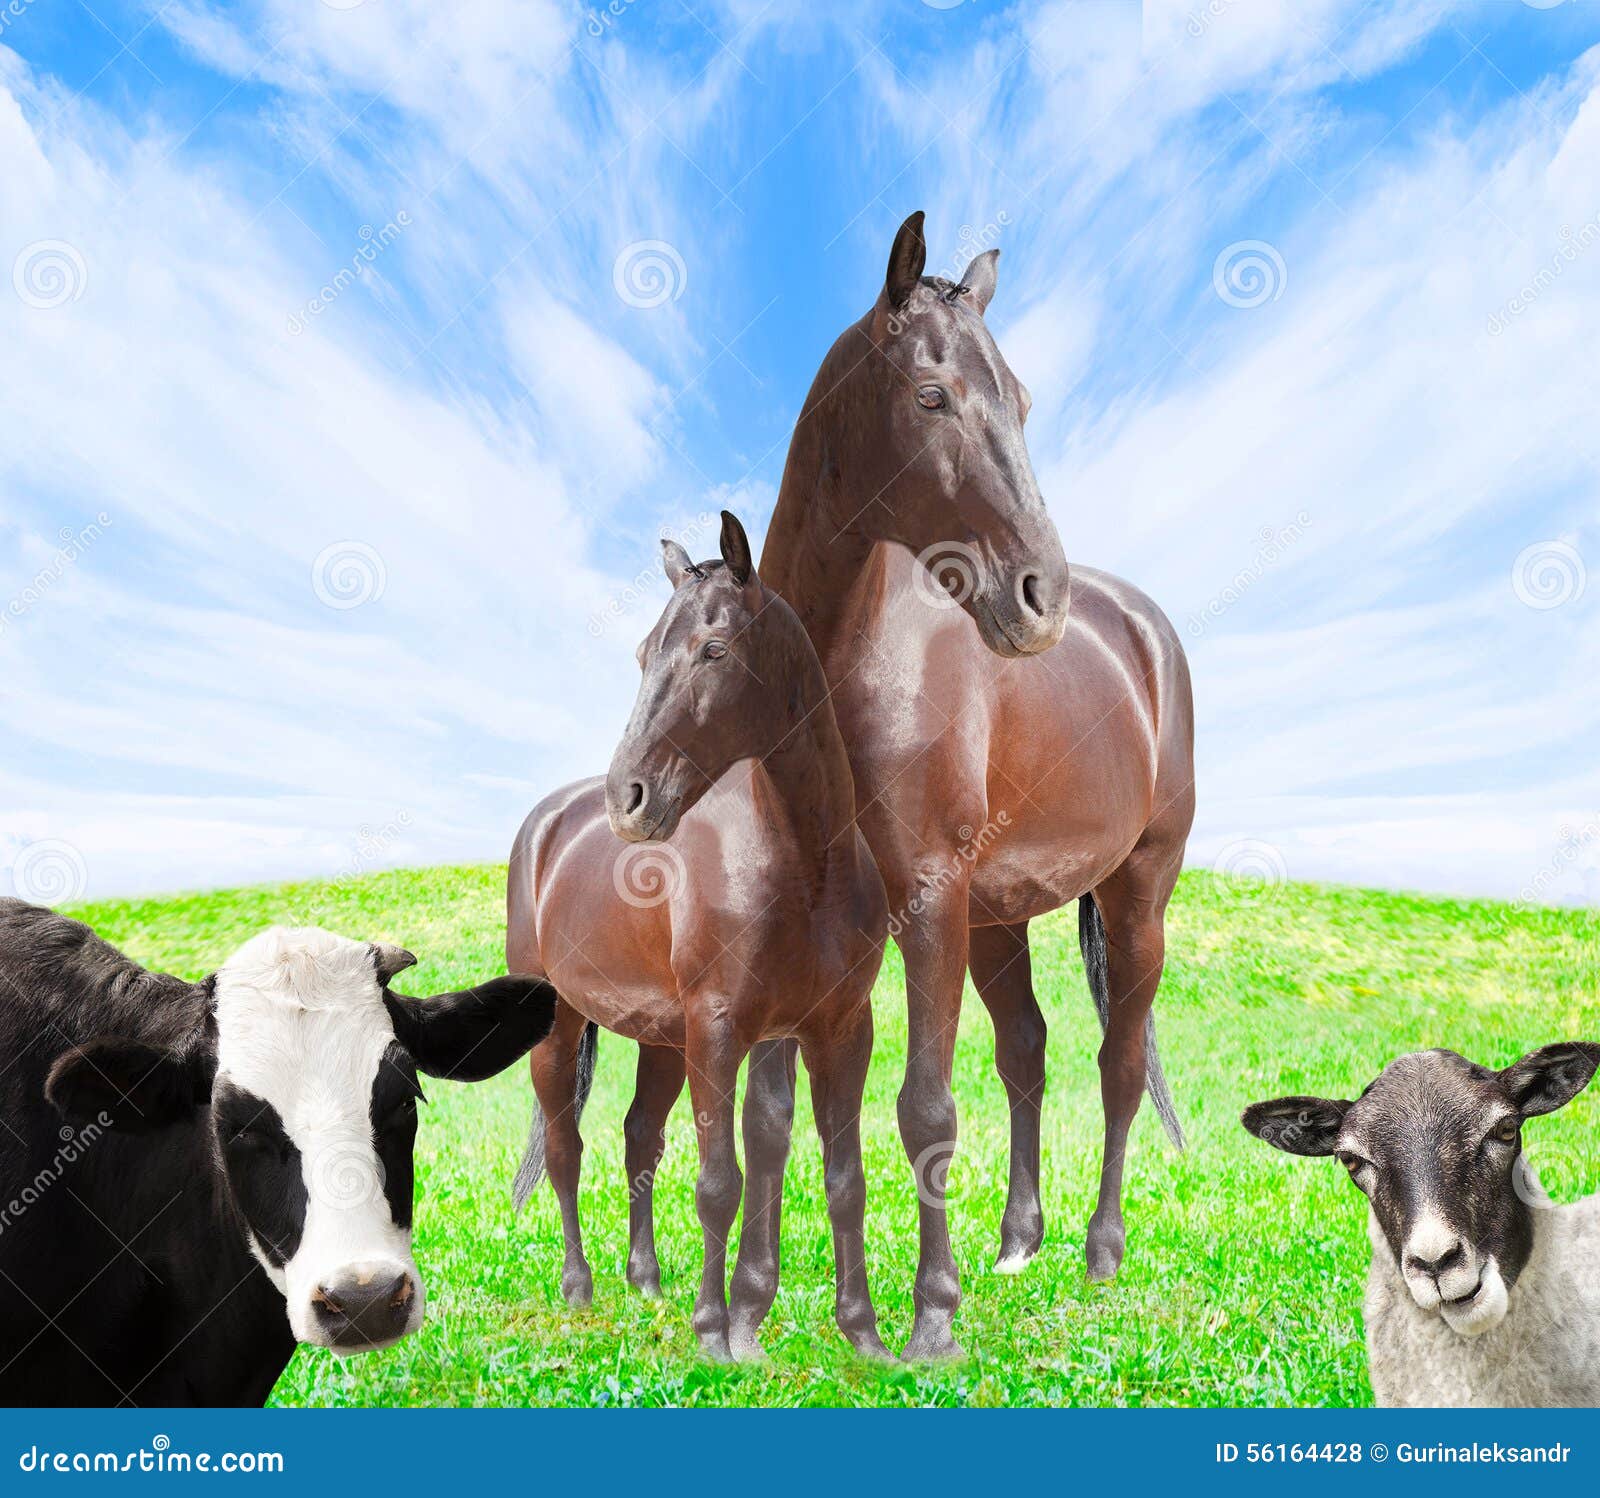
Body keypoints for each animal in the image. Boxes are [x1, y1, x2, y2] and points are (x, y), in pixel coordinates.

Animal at [506, 512, 890, 1362]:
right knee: (565, 1151)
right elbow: (720, 1183)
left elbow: (844, 1180)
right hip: (561, 1025)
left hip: (661, 1039)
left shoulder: (840, 1031)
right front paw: (716, 1332)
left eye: (714, 649)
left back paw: (645, 1282)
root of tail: (547, 823)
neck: (803, 860)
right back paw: (579, 1288)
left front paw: (865, 1334)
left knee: (637, 1139)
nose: (629, 798)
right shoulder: (718, 1032)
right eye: (642, 653)